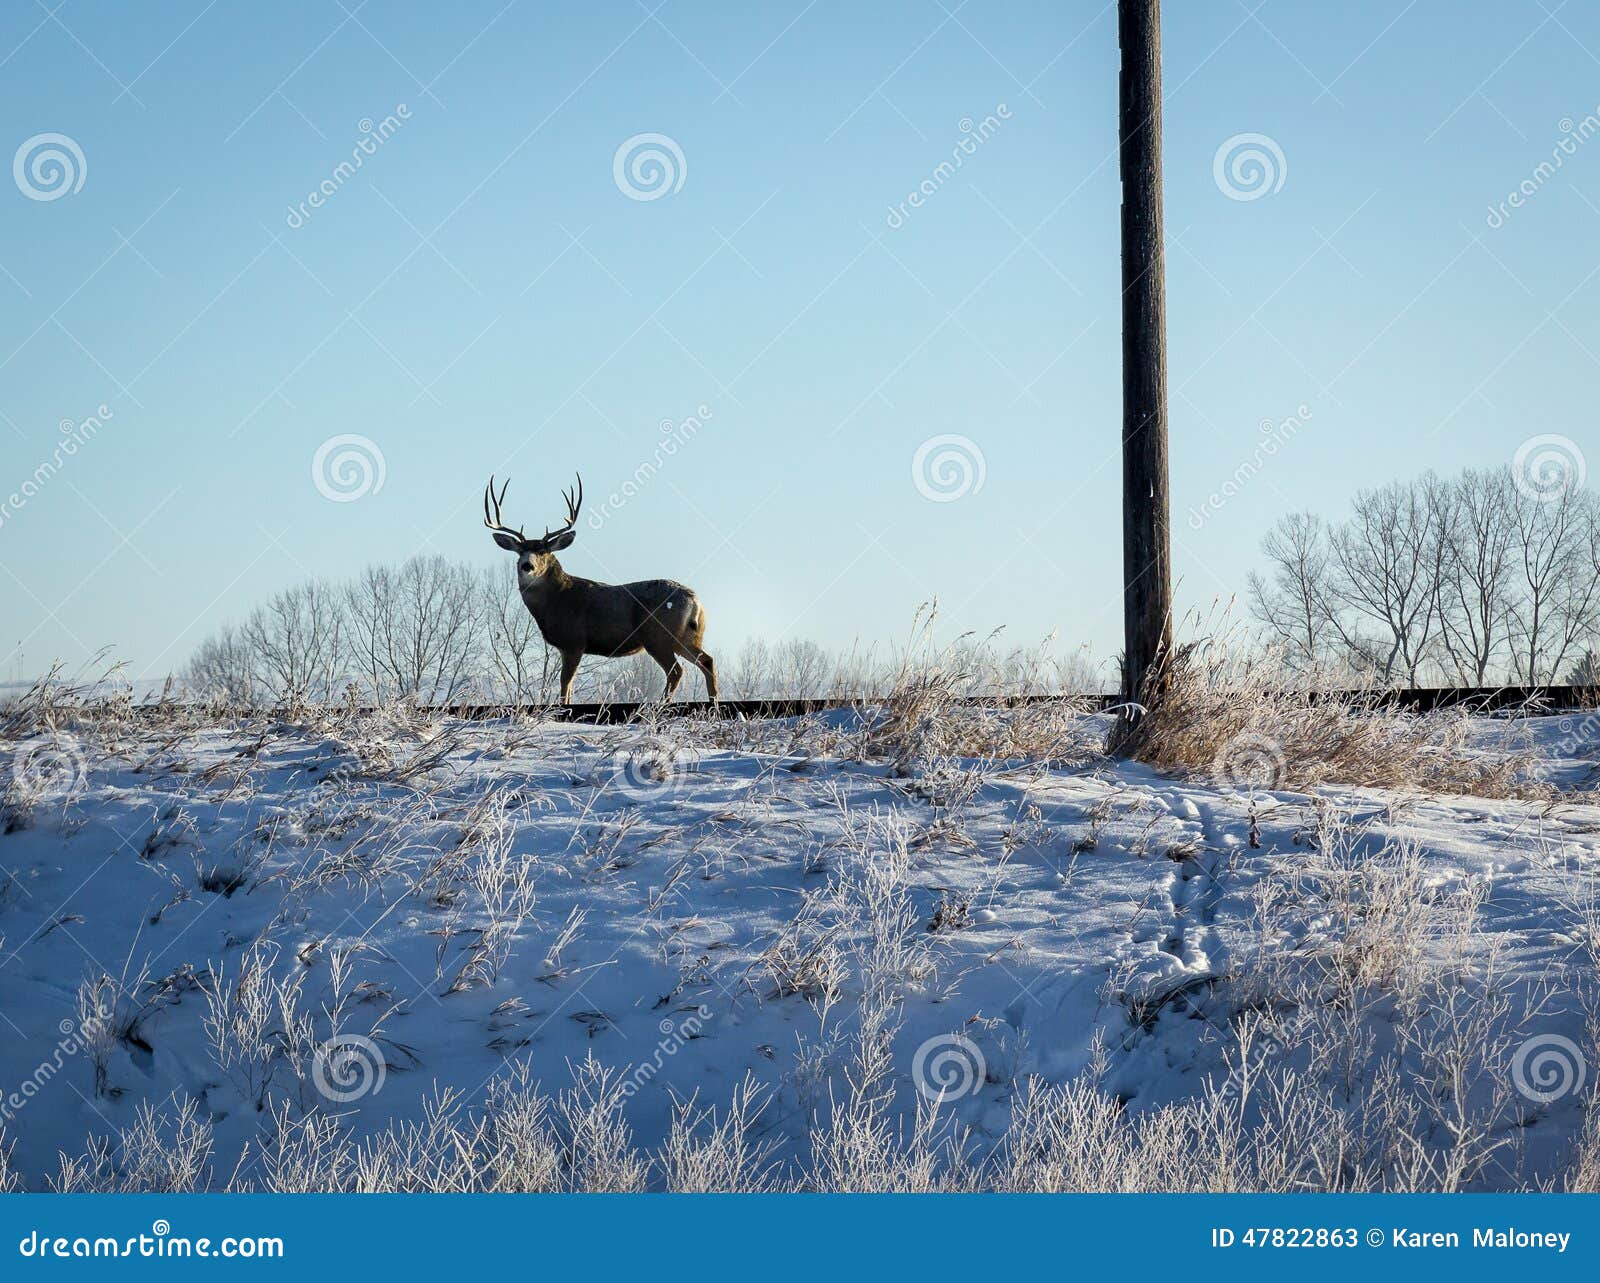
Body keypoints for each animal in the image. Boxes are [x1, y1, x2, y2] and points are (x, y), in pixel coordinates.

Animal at [483, 474, 718, 706]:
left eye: (543, 552)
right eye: (520, 551)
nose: (527, 565)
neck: (556, 599)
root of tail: (694, 601)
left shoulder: (574, 641)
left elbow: (565, 682)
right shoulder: (568, 646)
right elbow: (570, 685)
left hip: (657, 635)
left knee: (676, 671)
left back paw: (660, 705)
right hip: (687, 636)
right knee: (707, 660)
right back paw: (712, 701)